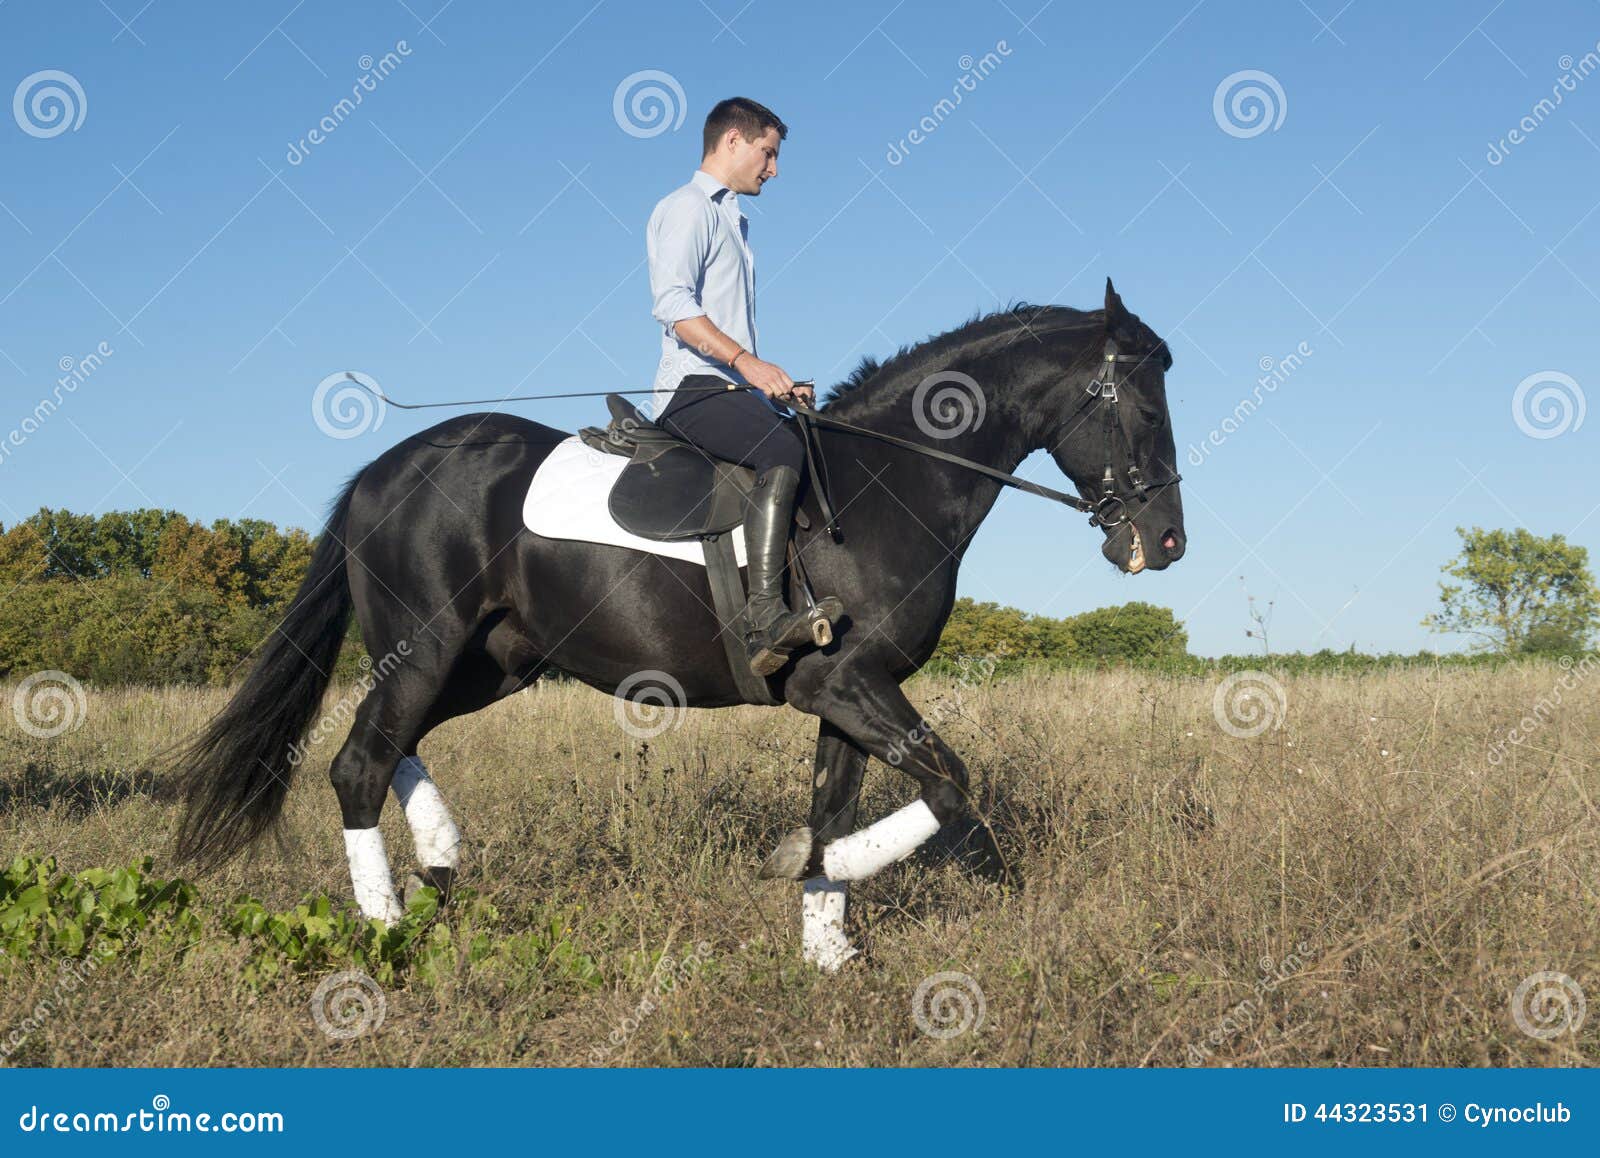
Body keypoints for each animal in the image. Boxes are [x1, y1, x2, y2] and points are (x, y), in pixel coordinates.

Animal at [173, 279, 1186, 970]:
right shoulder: (846, 682)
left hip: (491, 661)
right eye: (1143, 405)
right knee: (359, 761)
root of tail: (384, 471)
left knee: (396, 746)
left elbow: (837, 803)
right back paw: (385, 931)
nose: (1168, 542)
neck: (894, 482)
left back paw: (443, 858)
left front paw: (827, 949)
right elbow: (946, 785)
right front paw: (812, 870)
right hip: (420, 646)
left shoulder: (844, 693)